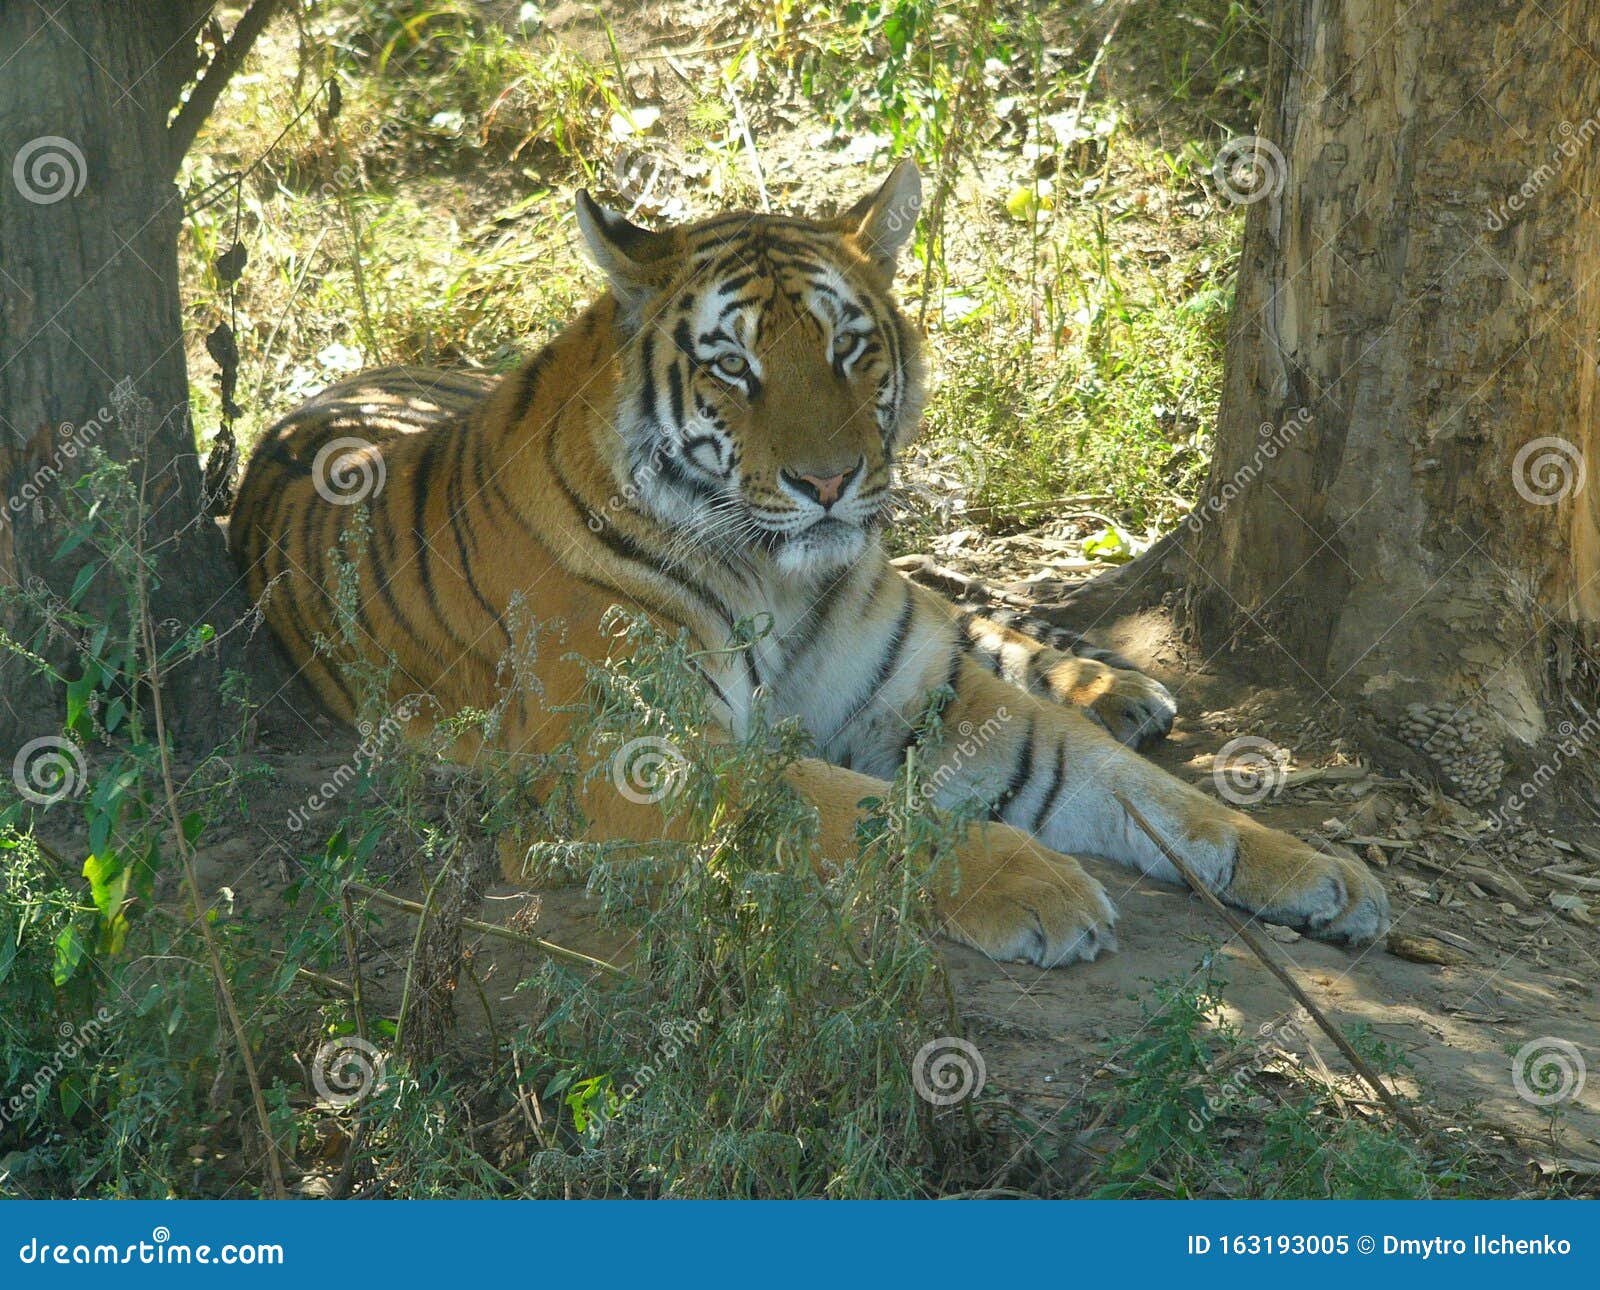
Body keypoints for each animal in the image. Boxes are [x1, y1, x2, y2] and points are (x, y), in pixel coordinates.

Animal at [228, 161, 1390, 967]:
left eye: (849, 349)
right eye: (732, 367)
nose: (830, 482)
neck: (775, 577)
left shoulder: (932, 694)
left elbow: (1136, 790)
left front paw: (1314, 872)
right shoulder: (626, 755)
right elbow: (845, 806)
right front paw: (1037, 889)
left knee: (979, 620)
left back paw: (1118, 686)